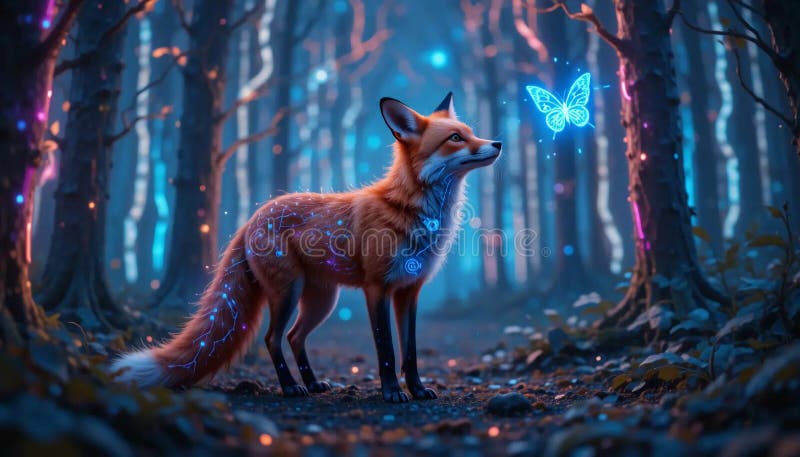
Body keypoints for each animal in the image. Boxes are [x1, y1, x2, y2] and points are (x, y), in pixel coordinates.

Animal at [112, 93, 501, 403]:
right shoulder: (377, 288)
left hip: (321, 301)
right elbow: (387, 350)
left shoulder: (409, 290)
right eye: (455, 138)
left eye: (470, 132)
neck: (411, 210)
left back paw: (313, 383)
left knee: (295, 337)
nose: (497, 143)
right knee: (273, 338)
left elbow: (411, 351)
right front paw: (392, 393)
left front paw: (417, 390)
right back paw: (290, 387)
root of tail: (254, 217)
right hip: (288, 292)